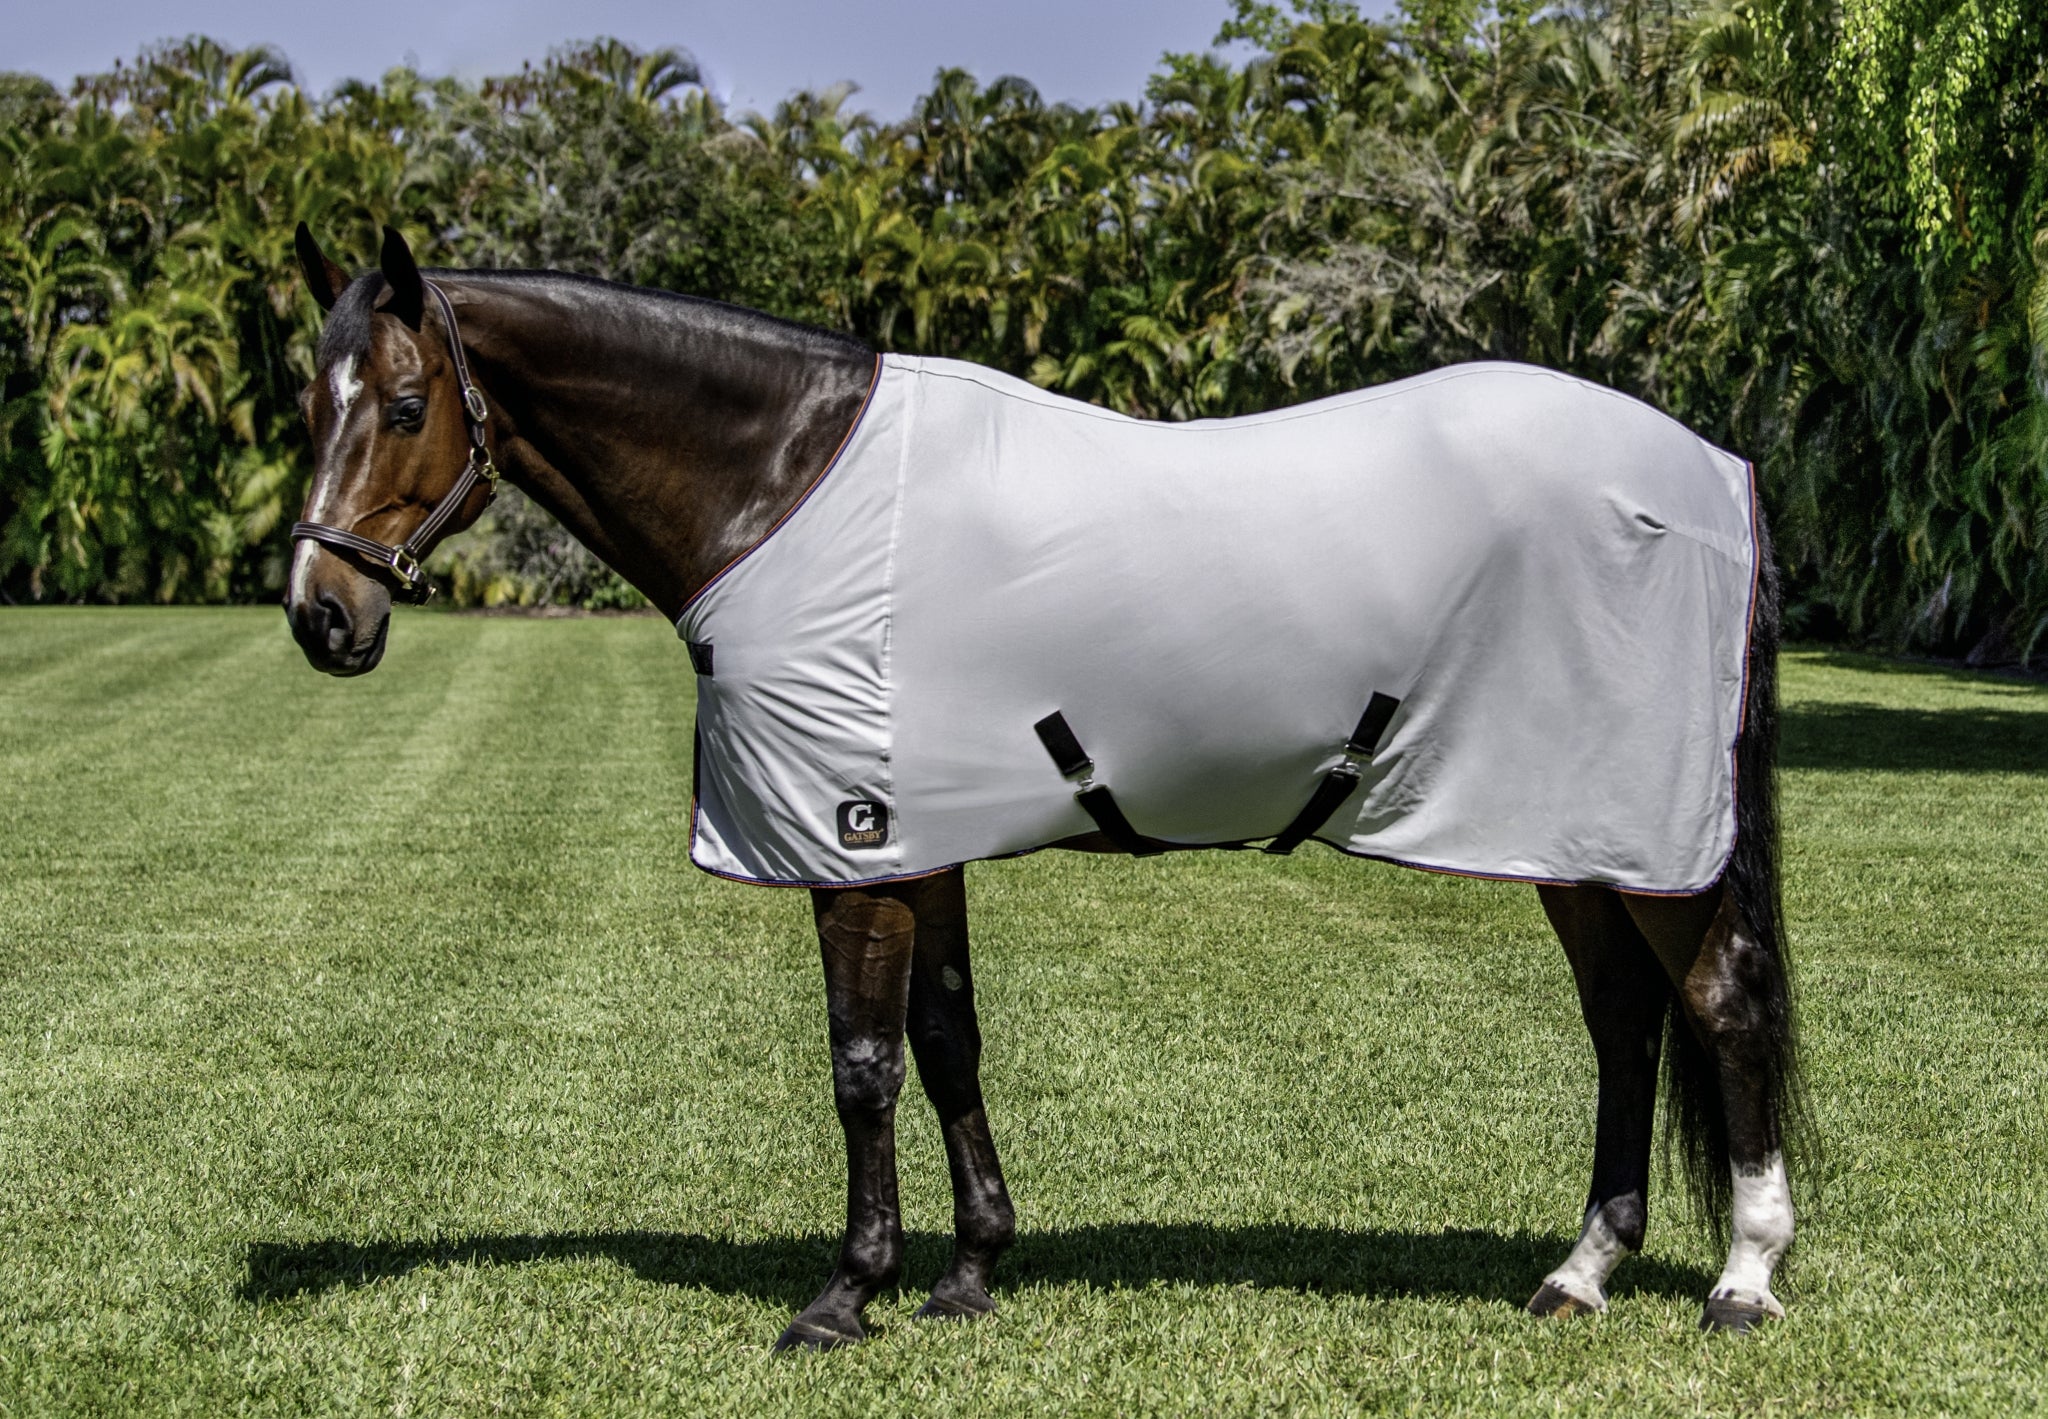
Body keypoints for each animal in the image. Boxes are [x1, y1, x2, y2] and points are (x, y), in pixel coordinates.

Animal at [283, 224, 1802, 1347]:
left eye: (406, 405)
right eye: (310, 404)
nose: (319, 617)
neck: (788, 487)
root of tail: (1717, 471)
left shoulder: (855, 841)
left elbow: (862, 1063)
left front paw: (846, 1294)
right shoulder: (921, 837)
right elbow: (947, 1040)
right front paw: (968, 1273)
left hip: (1646, 838)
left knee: (1719, 1005)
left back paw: (1742, 1278)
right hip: (1572, 832)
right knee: (1623, 1022)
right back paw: (1581, 1271)